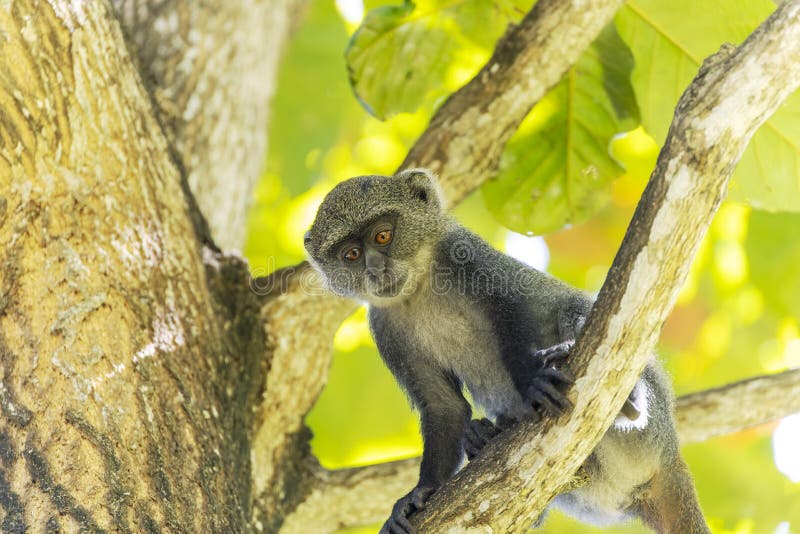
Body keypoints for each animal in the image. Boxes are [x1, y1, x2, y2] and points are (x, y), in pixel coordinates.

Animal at [303, 169, 709, 534]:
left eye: (383, 235)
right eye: (352, 254)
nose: (375, 268)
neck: (419, 288)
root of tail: (669, 457)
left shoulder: (467, 256)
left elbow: (515, 314)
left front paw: (533, 388)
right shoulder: (385, 328)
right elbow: (443, 407)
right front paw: (419, 494)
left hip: (648, 430)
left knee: (576, 310)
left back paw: (628, 401)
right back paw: (484, 438)